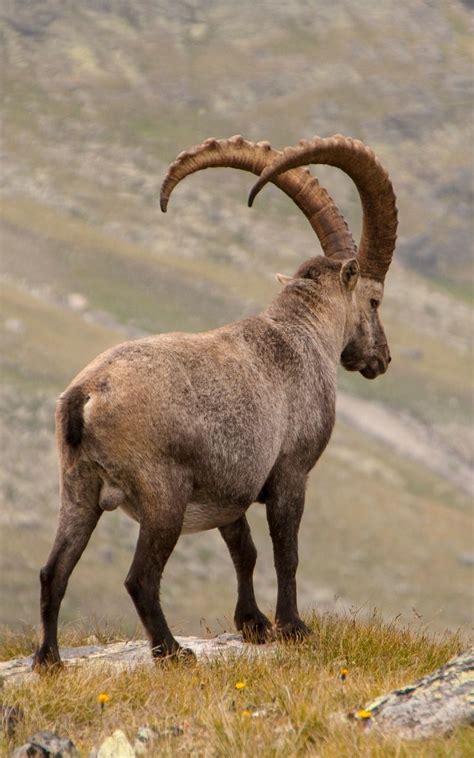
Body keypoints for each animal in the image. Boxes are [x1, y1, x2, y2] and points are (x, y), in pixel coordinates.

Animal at [34, 135, 397, 667]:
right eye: (374, 300)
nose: (381, 358)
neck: (300, 334)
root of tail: (86, 395)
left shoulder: (232, 487)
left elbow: (243, 550)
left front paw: (253, 624)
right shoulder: (290, 472)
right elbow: (285, 551)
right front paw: (293, 627)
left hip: (77, 489)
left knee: (53, 572)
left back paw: (50, 661)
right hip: (162, 496)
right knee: (140, 578)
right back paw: (171, 651)